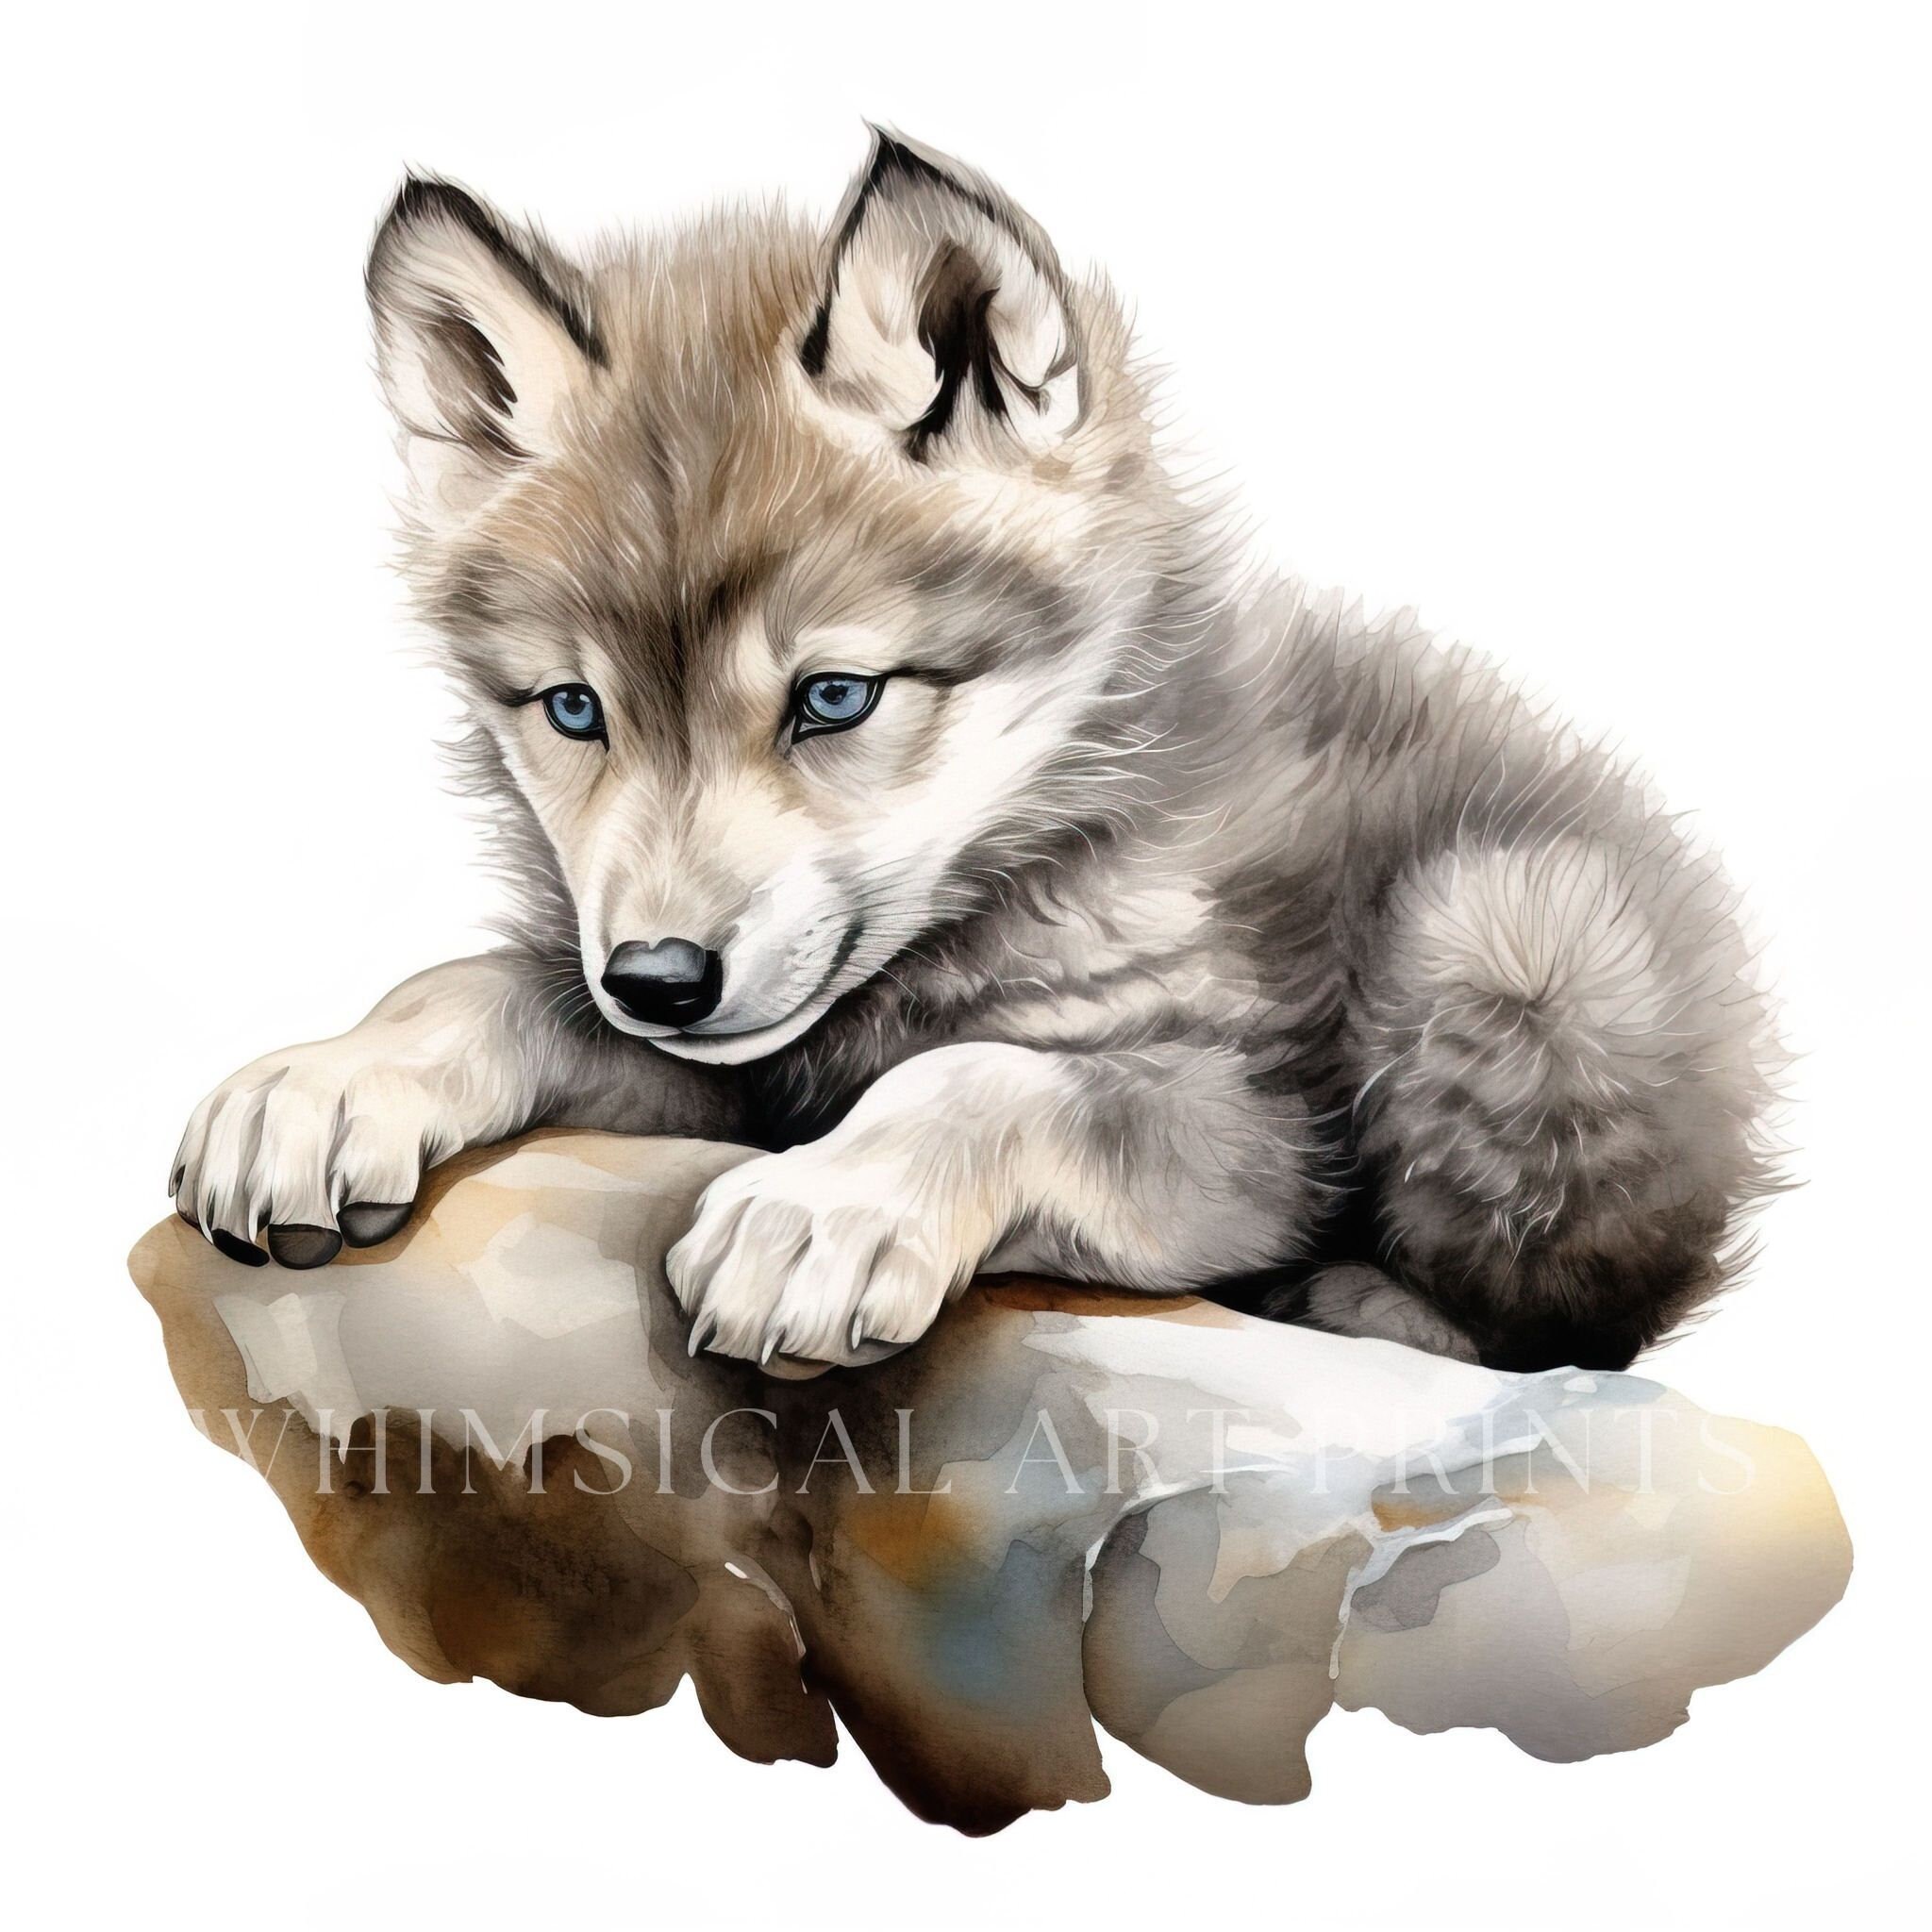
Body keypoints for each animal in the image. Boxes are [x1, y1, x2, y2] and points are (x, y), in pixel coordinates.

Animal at [170, 129, 1782, 1374]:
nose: (661, 980)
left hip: (1511, 932)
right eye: (574, 712)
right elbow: (483, 981)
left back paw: (1342, 1300)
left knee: (1568, 1329)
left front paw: (825, 1211)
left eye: (832, 698)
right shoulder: (729, 1077)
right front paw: (328, 1080)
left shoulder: (1244, 1115)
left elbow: (990, 1080)